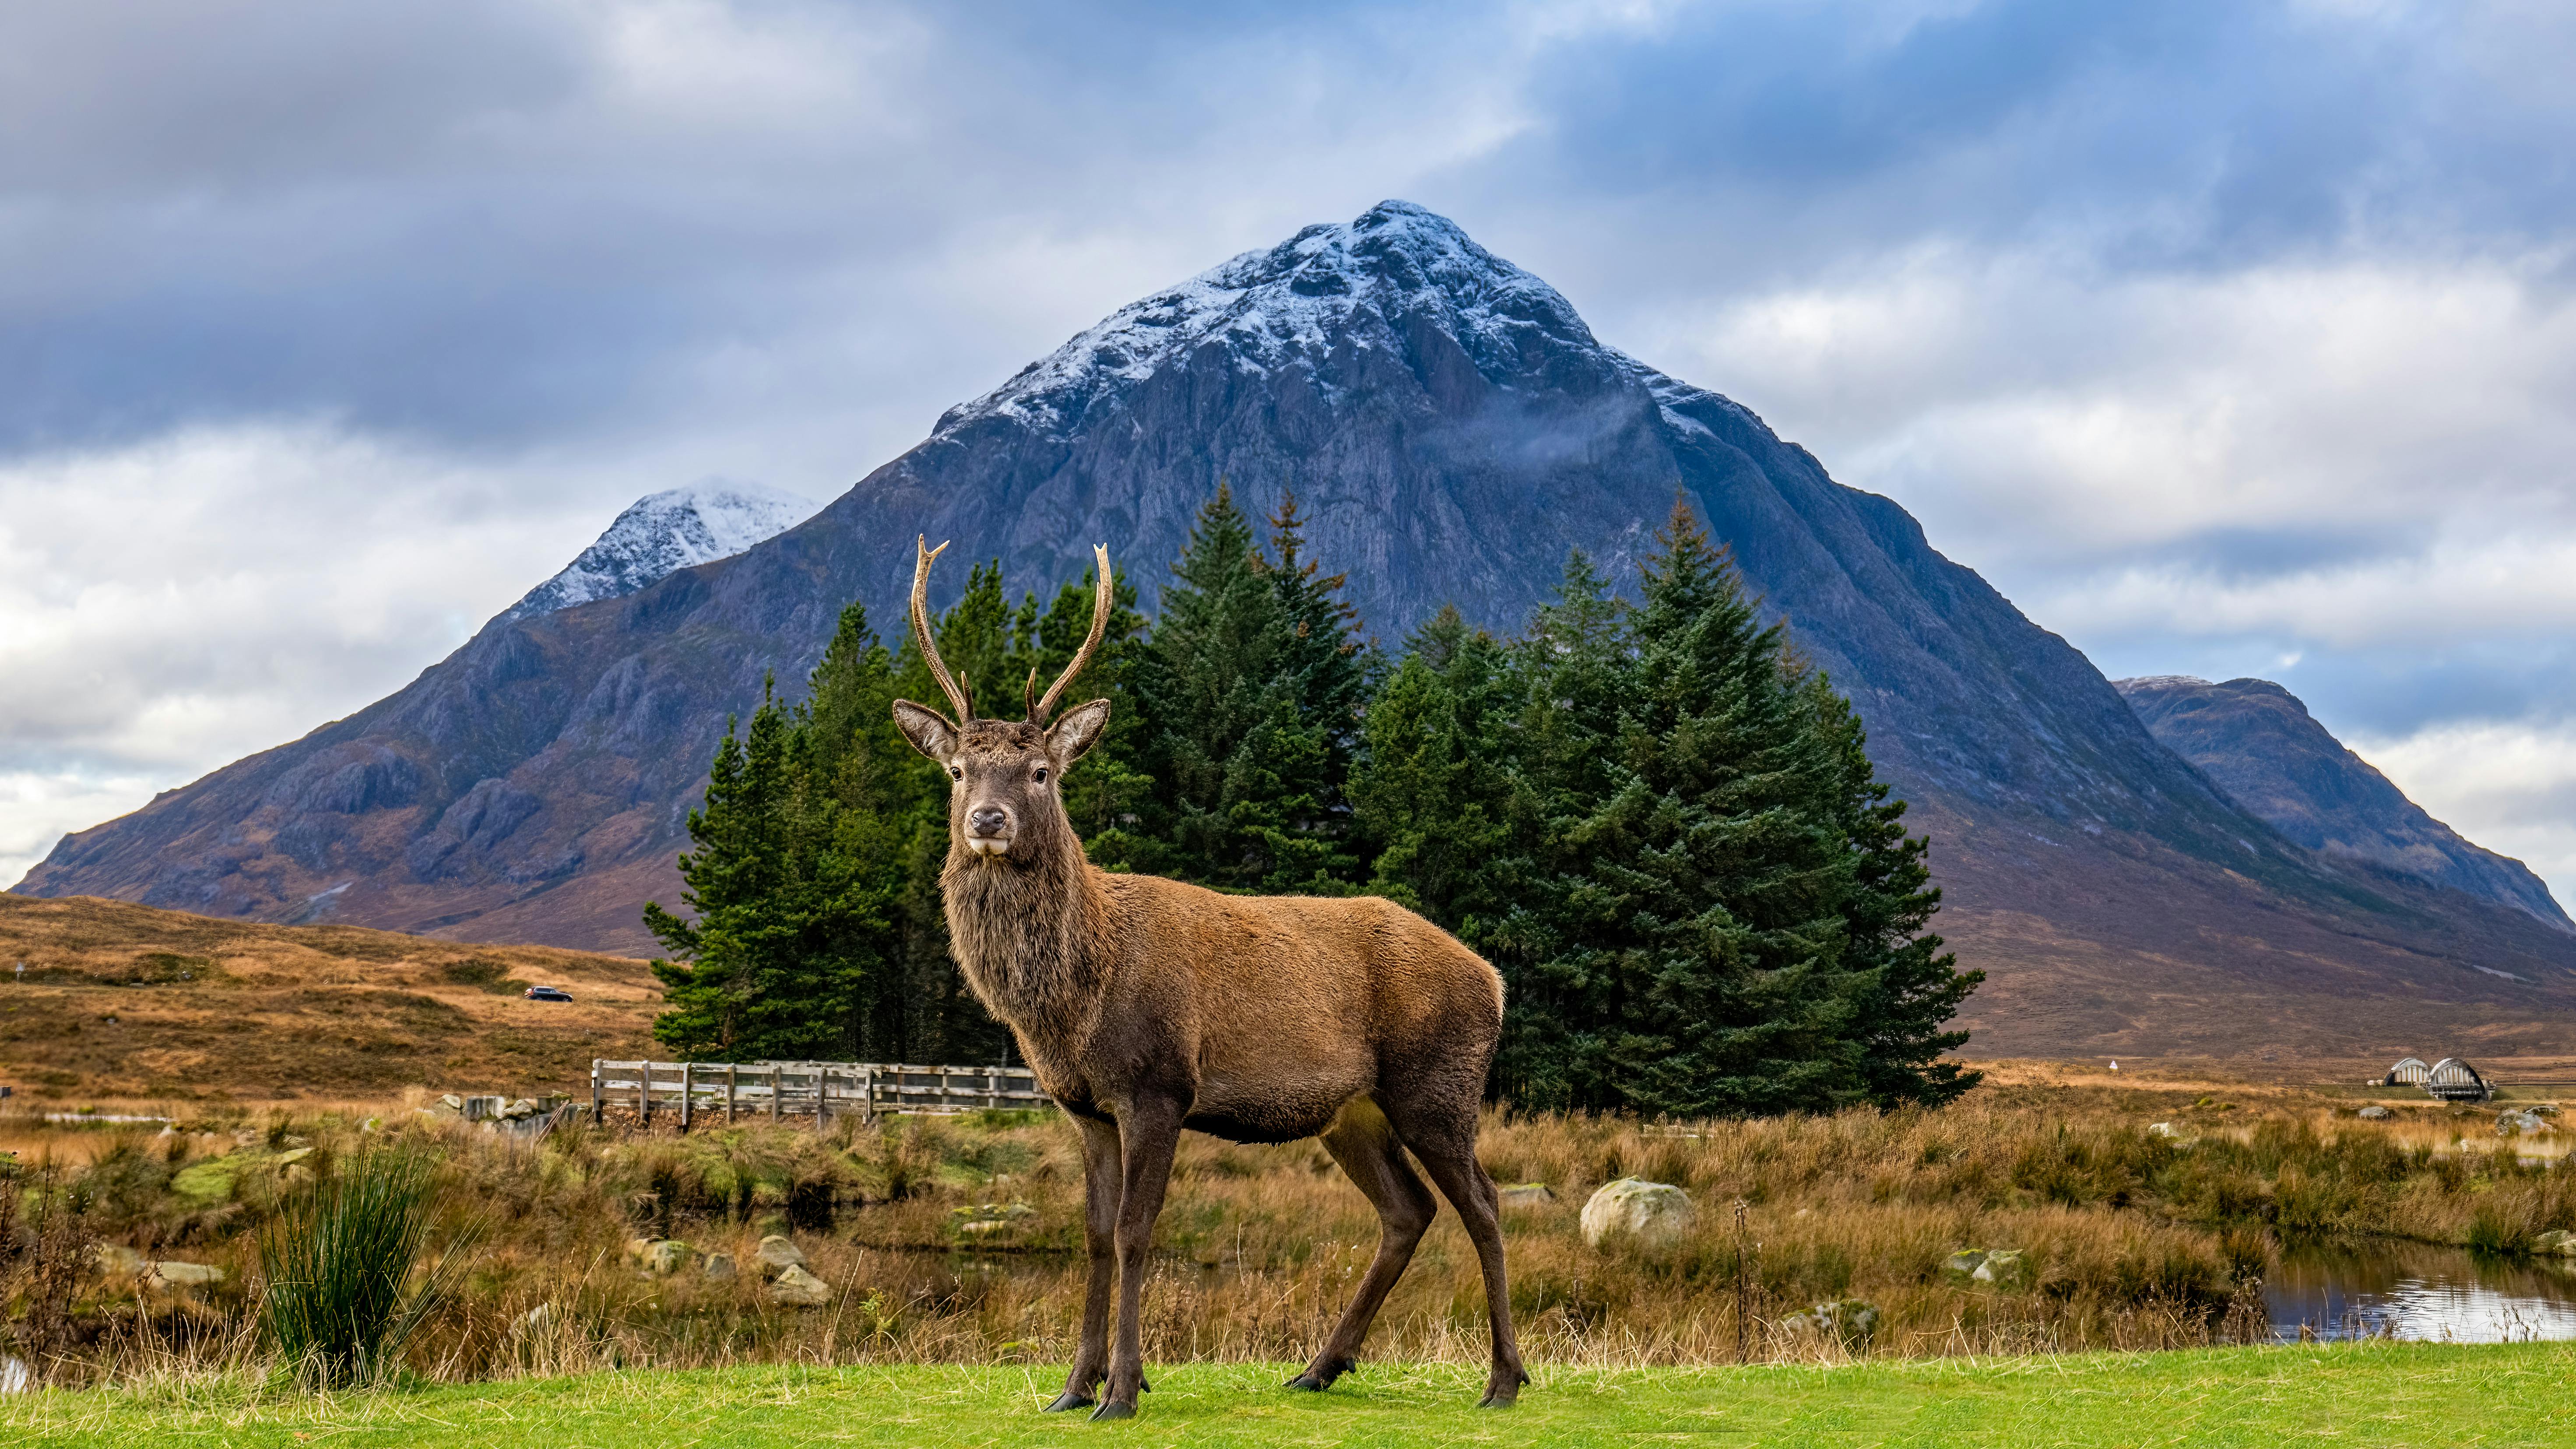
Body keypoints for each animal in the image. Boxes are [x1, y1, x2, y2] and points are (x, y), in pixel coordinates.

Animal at [890, 536, 1526, 1421]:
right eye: (956, 770)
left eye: (1043, 771)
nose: (989, 820)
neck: (1071, 1003)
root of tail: (1494, 979)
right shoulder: (1082, 1106)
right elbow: (1093, 1235)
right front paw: (1072, 1387)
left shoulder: (1159, 1084)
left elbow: (1136, 1232)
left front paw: (1123, 1389)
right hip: (1351, 1112)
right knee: (1410, 1210)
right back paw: (1320, 1366)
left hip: (1438, 1085)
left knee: (1485, 1204)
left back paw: (1503, 1378)